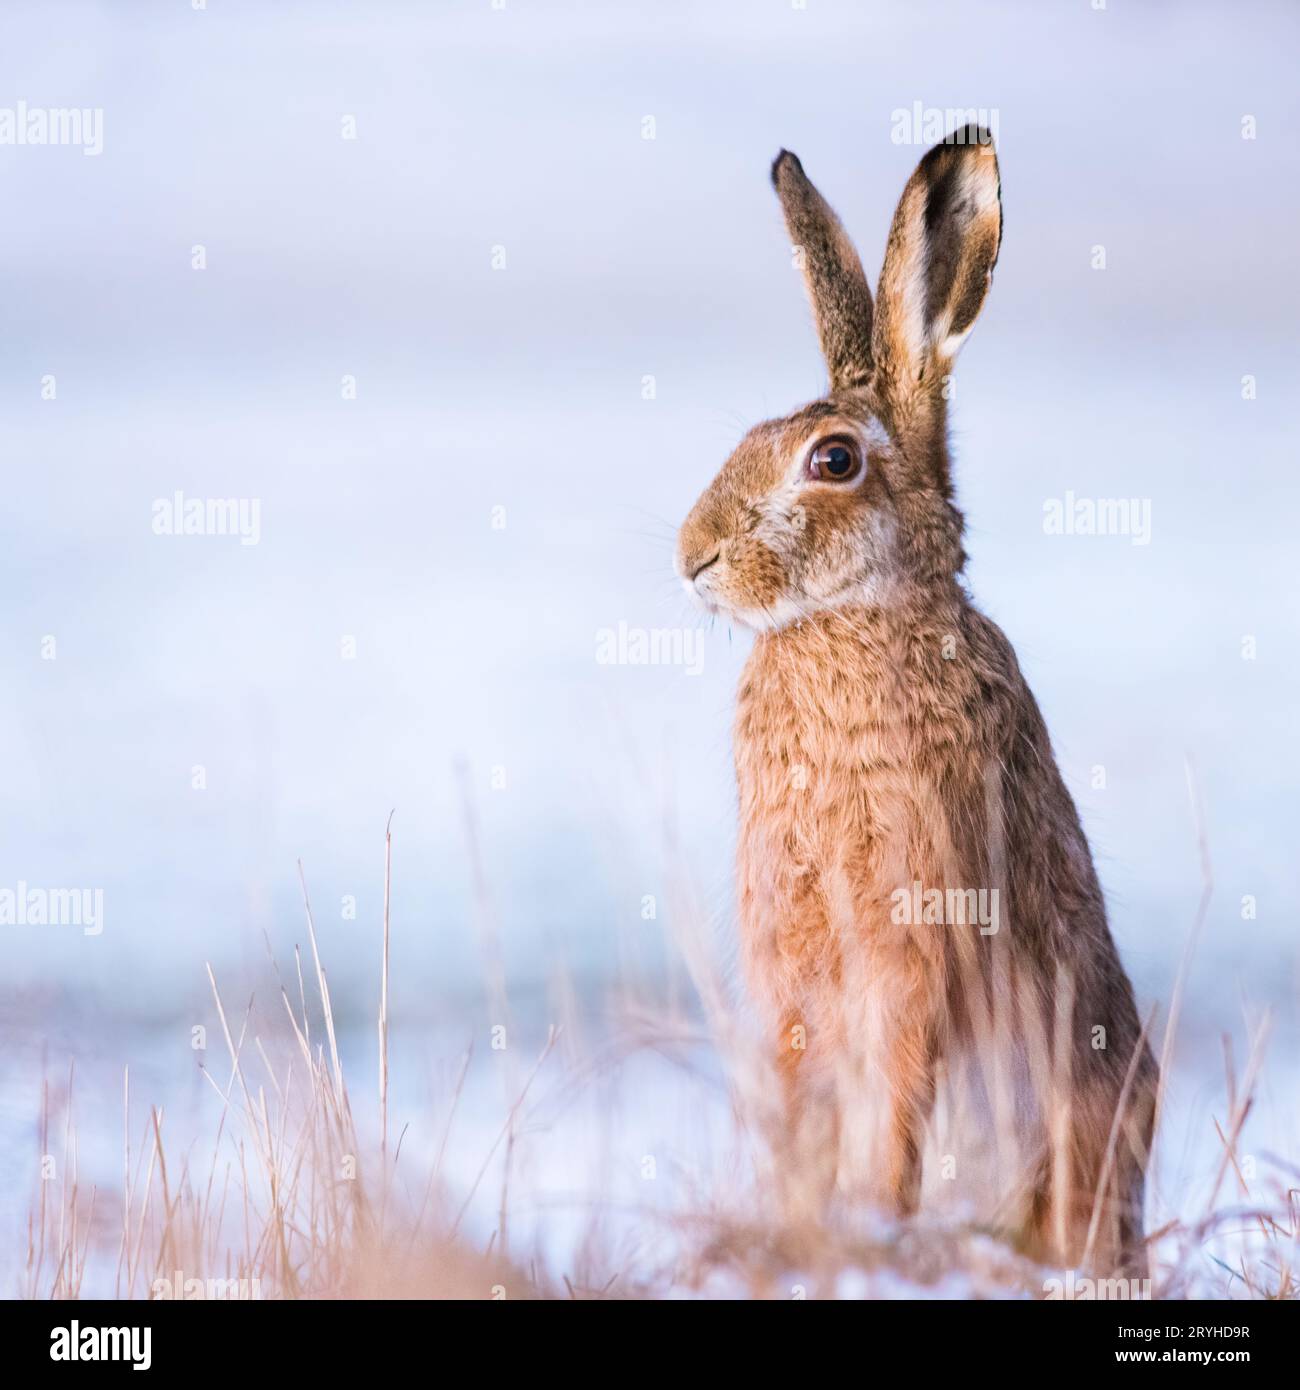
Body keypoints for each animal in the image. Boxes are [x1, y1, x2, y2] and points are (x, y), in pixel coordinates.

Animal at [675, 126, 1156, 1276]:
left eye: (833, 460)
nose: (690, 558)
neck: (849, 618)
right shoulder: (790, 945)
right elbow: (802, 1091)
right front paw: (806, 1217)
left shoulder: (913, 934)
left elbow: (894, 1096)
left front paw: (869, 1221)